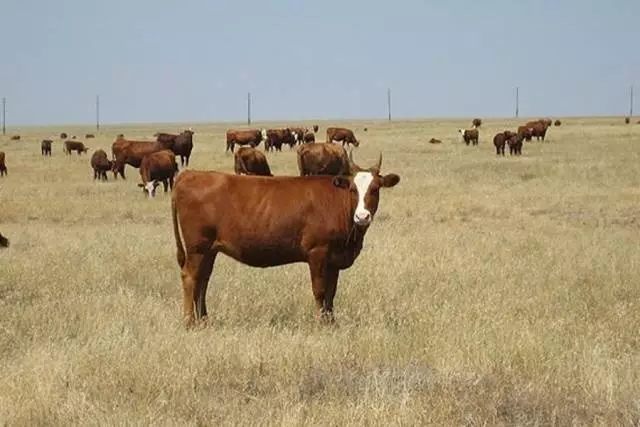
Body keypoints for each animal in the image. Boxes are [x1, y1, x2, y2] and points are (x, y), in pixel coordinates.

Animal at [170, 152, 400, 326]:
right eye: (352, 189)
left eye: (375, 189)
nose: (362, 216)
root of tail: (189, 175)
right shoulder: (317, 252)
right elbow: (319, 290)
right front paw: (321, 323)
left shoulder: (334, 259)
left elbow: (331, 293)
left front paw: (331, 322)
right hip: (197, 248)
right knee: (190, 277)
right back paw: (189, 321)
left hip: (209, 250)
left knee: (202, 280)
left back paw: (204, 320)